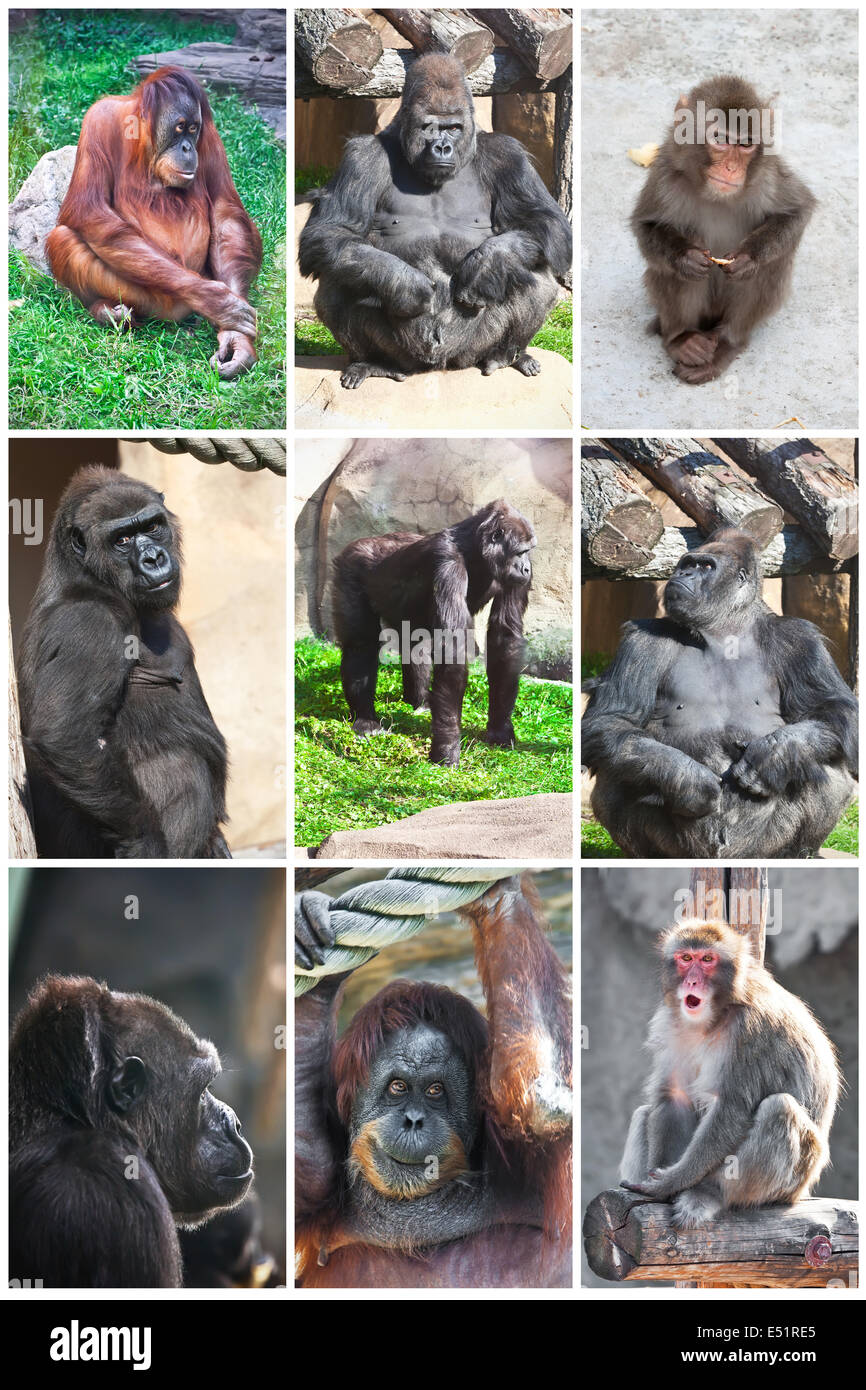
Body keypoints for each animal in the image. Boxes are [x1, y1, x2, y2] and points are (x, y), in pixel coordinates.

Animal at [619, 920, 840, 1229]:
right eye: (686, 958)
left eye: (707, 959)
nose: (692, 982)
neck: (717, 1015)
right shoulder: (671, 1025)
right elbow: (674, 1098)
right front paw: (659, 1185)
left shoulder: (752, 1030)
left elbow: (731, 1110)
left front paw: (669, 1183)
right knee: (644, 1113)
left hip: (793, 1183)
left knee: (779, 1108)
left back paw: (710, 1193)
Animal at [632, 75, 816, 384]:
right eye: (720, 139)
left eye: (746, 145)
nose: (731, 168)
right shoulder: (665, 174)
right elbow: (646, 226)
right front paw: (685, 258)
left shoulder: (768, 176)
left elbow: (797, 211)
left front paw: (748, 259)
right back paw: (681, 340)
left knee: (774, 264)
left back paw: (728, 342)